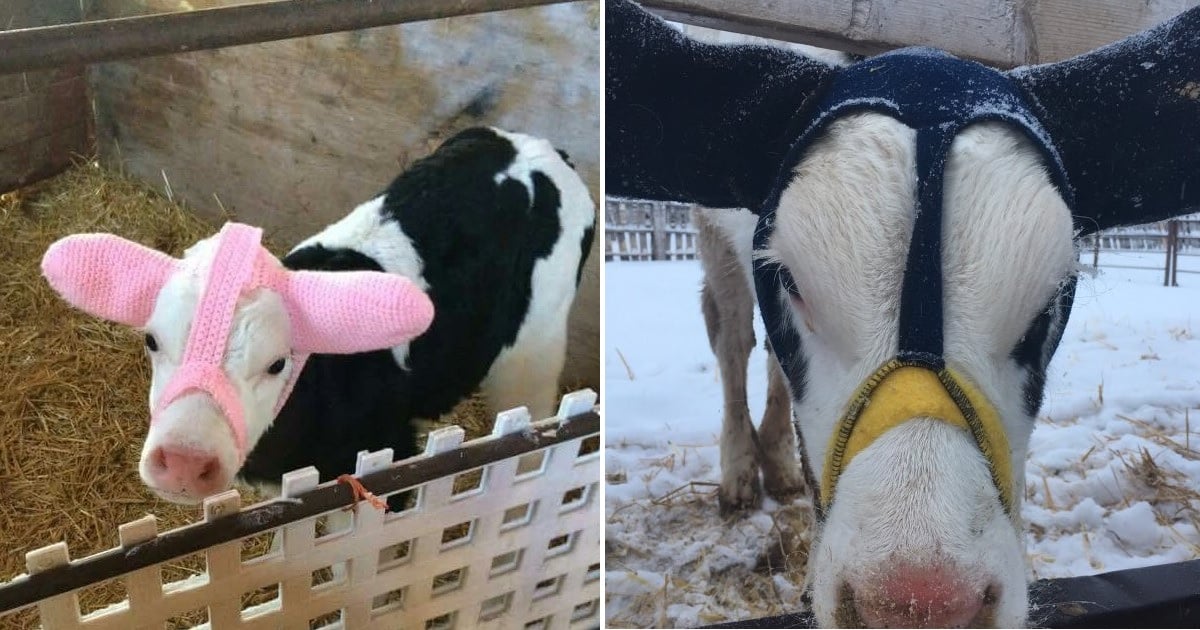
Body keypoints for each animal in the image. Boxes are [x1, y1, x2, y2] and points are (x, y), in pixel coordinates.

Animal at [42, 126, 596, 507]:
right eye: (152, 341)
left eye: (278, 363)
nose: (182, 461)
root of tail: (538, 148)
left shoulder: (391, 459)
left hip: (536, 345)